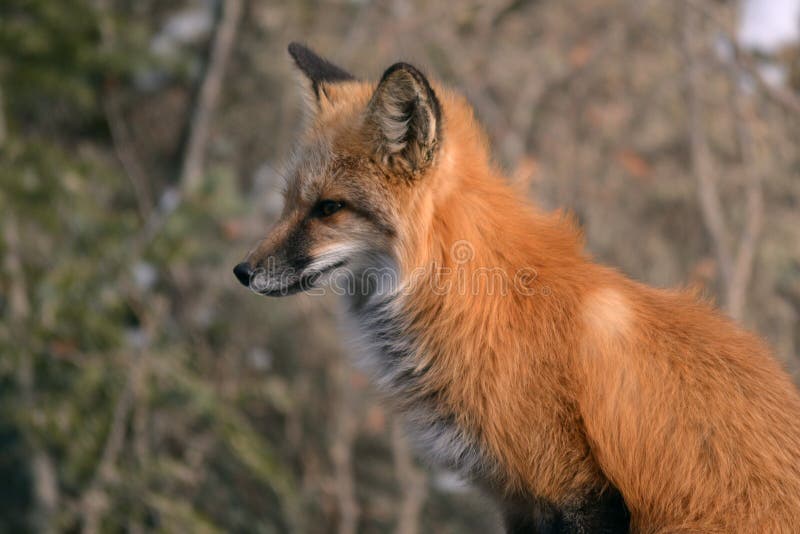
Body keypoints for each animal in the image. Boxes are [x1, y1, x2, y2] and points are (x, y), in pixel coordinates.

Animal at [233, 43, 800, 533]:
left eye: (329, 208)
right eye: (288, 203)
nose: (242, 271)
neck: (473, 301)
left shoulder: (579, 491)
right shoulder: (516, 499)